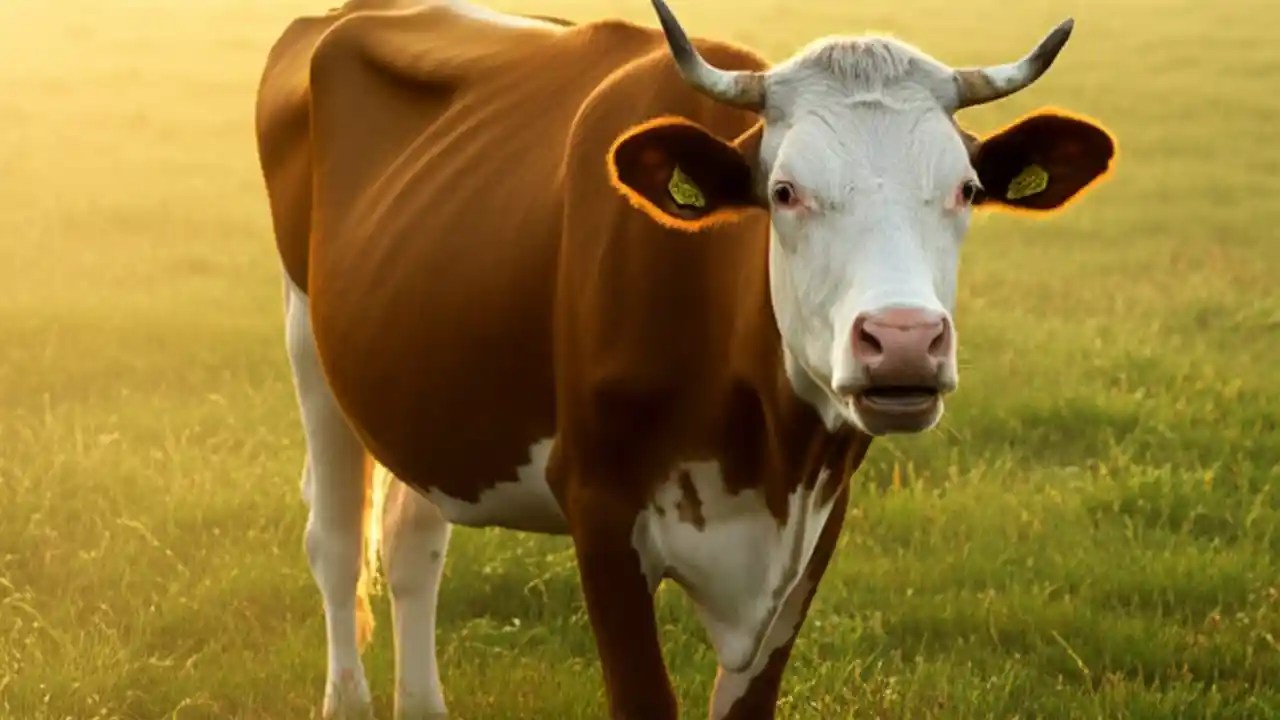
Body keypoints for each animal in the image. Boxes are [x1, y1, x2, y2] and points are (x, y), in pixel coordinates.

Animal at [254, 0, 1116, 718]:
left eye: (966, 189)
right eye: (785, 192)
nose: (903, 338)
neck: (760, 444)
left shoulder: (813, 528)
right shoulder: (598, 508)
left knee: (411, 545)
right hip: (308, 344)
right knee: (336, 546)